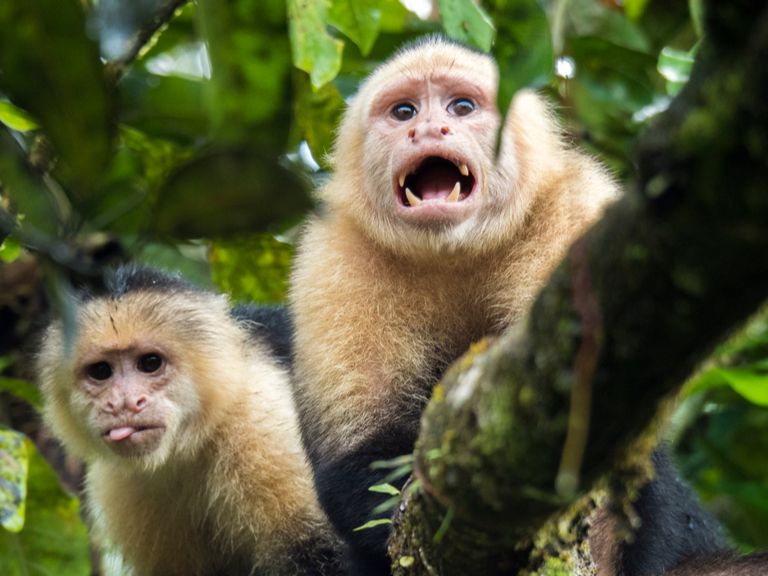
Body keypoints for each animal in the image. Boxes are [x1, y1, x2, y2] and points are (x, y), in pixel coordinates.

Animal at [36, 265, 344, 576]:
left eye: (150, 363)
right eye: (100, 371)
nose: (124, 403)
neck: (189, 446)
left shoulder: (260, 423)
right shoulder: (124, 486)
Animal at [288, 36, 727, 575]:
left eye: (461, 107)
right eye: (403, 111)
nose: (427, 128)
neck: (455, 251)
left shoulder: (576, 209)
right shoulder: (332, 255)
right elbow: (356, 452)